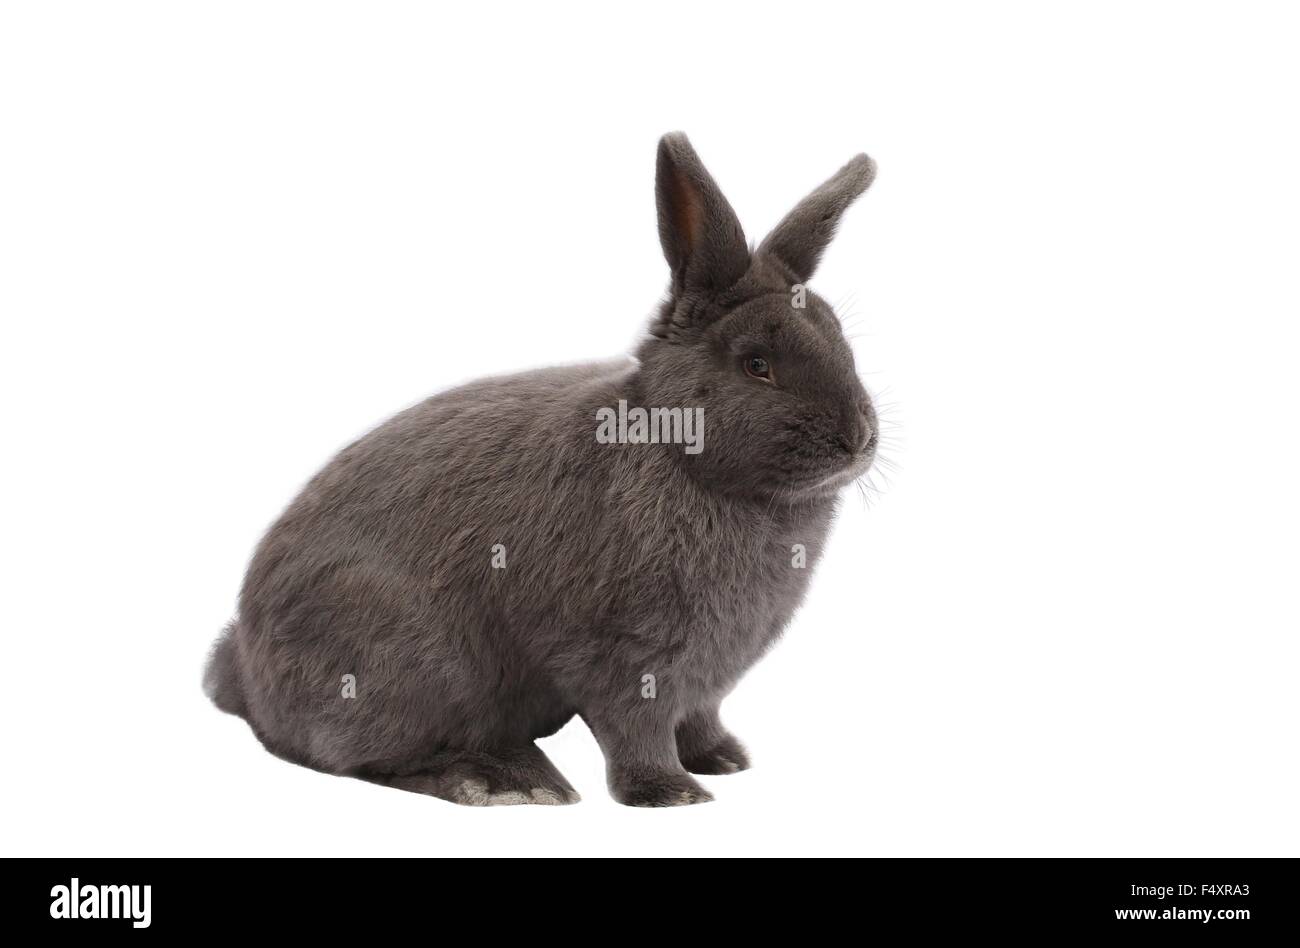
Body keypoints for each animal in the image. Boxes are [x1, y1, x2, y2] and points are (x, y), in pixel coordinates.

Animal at [205, 132, 879, 806]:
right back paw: (506, 780)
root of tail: (246, 674)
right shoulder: (624, 657)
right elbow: (634, 728)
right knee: (365, 756)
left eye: (841, 341)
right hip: (414, 659)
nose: (859, 439)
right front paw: (670, 793)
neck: (679, 455)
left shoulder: (702, 680)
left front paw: (723, 760)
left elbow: (698, 717)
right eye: (756, 364)